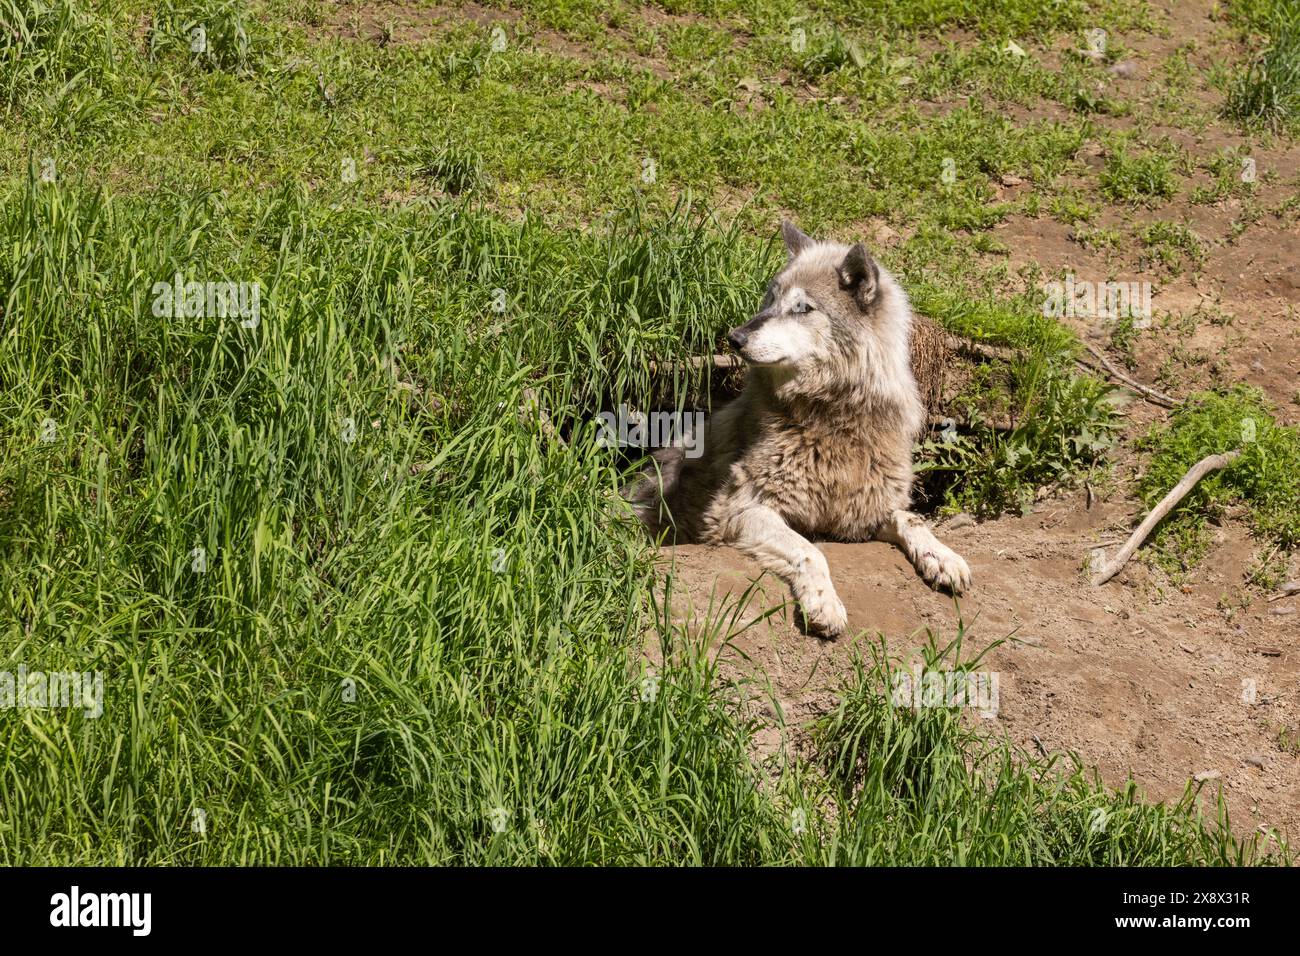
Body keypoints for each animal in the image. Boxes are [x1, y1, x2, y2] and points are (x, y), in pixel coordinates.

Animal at [627, 221, 971, 639]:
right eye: (770, 299)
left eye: (802, 308)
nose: (734, 337)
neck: (832, 420)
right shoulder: (743, 510)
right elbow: (811, 550)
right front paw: (824, 603)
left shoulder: (865, 514)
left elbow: (912, 518)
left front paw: (943, 557)